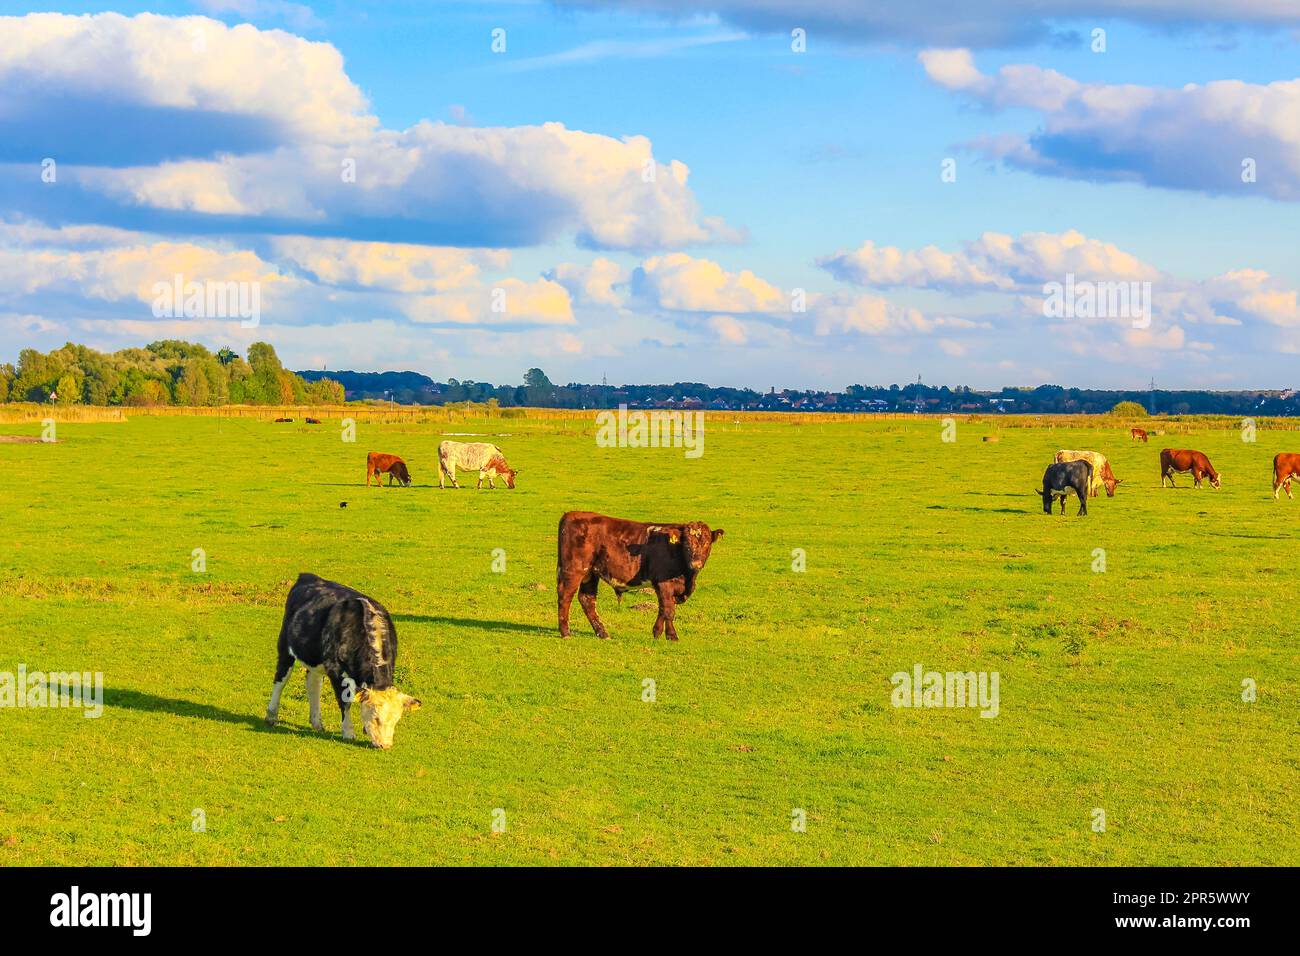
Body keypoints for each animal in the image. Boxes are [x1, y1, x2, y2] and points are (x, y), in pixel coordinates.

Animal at [265, 573, 421, 749]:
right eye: (376, 717)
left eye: (396, 720)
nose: (385, 745)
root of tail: (308, 576)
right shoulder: (336, 670)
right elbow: (344, 701)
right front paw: (348, 732)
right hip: (285, 647)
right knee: (280, 680)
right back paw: (271, 716)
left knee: (313, 684)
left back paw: (317, 723)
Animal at [557, 511, 724, 641]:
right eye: (687, 545)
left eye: (707, 544)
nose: (696, 564)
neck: (687, 578)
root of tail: (571, 514)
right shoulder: (664, 583)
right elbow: (669, 610)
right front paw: (672, 636)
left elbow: (663, 608)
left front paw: (657, 632)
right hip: (574, 570)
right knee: (565, 596)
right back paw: (566, 633)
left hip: (590, 573)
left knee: (587, 599)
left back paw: (603, 633)